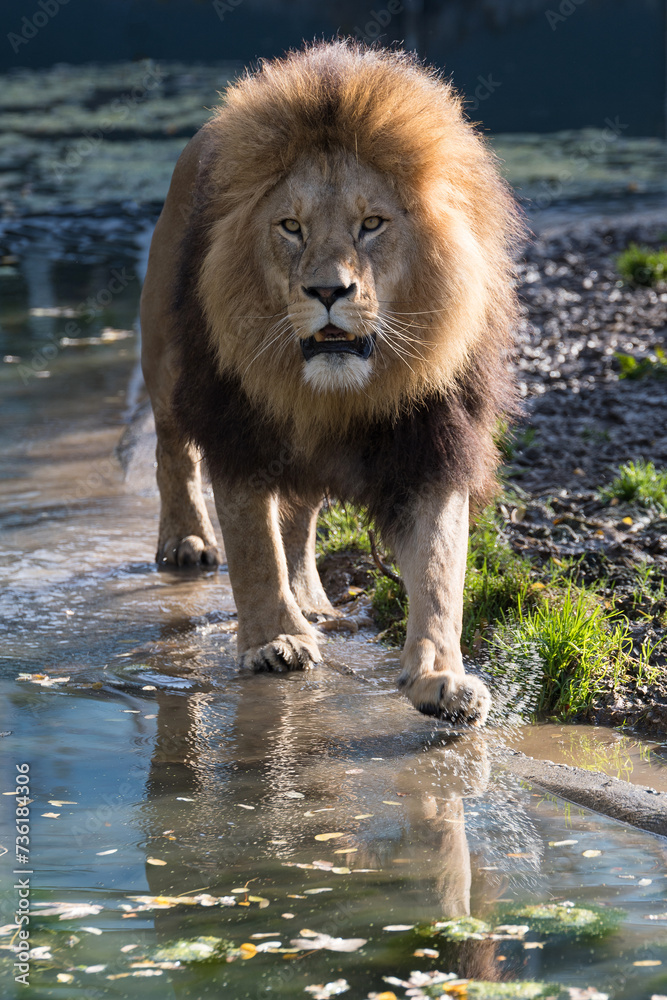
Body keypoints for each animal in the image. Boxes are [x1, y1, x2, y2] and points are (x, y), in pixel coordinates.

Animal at [139, 41, 522, 726]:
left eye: (372, 224)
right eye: (290, 227)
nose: (326, 291)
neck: (337, 395)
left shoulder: (432, 445)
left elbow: (439, 569)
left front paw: (442, 678)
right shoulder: (240, 428)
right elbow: (252, 544)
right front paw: (274, 641)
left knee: (299, 514)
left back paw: (313, 601)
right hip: (164, 355)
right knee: (173, 448)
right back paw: (186, 539)